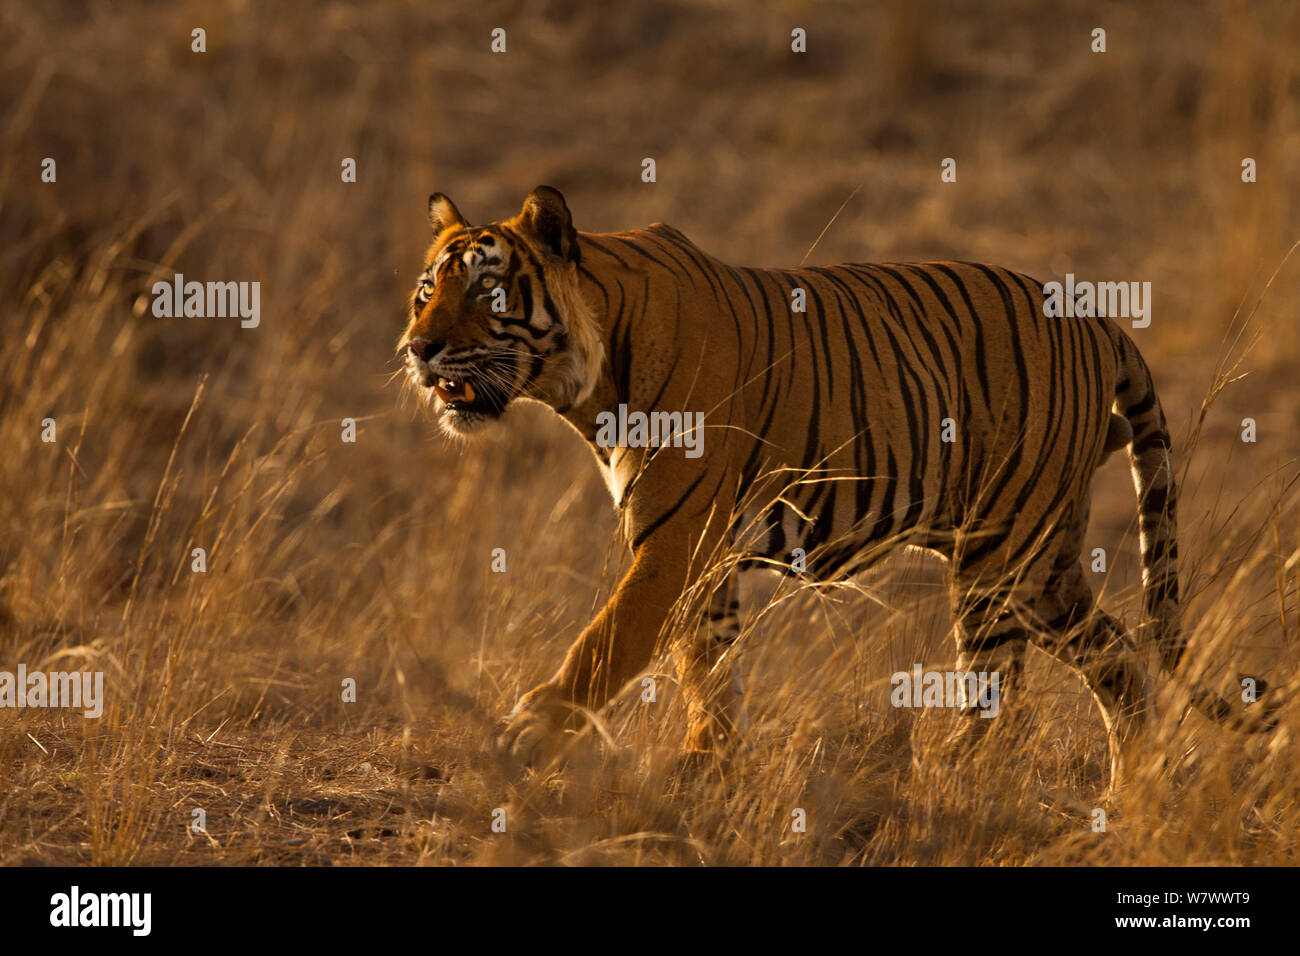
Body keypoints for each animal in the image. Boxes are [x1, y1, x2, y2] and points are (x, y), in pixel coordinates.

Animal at [398, 184, 1277, 792]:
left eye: (487, 291)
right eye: (426, 291)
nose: (417, 348)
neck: (590, 375)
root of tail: (1101, 317)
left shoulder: (672, 542)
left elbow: (606, 643)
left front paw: (527, 735)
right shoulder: (702, 556)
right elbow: (708, 667)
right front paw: (709, 765)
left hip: (999, 558)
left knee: (1002, 697)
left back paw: (946, 778)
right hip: (1045, 565)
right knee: (1120, 660)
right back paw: (1129, 795)